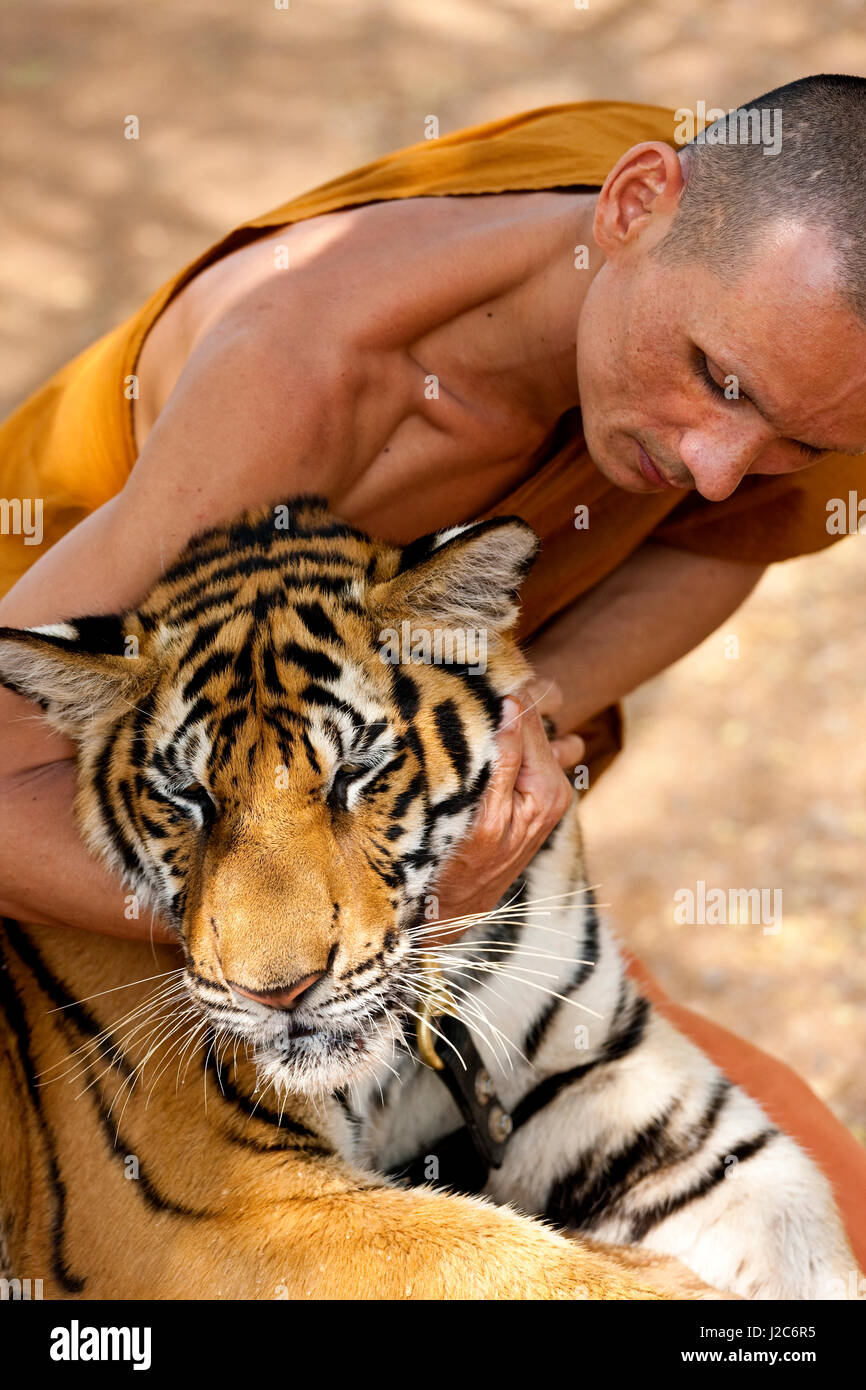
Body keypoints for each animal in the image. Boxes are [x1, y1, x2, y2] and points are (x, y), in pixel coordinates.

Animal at [0, 495, 855, 1301]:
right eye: (188, 796)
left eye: (355, 773)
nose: (277, 994)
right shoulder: (211, 1207)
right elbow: (517, 1261)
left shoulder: (604, 1071)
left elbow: (800, 1219)